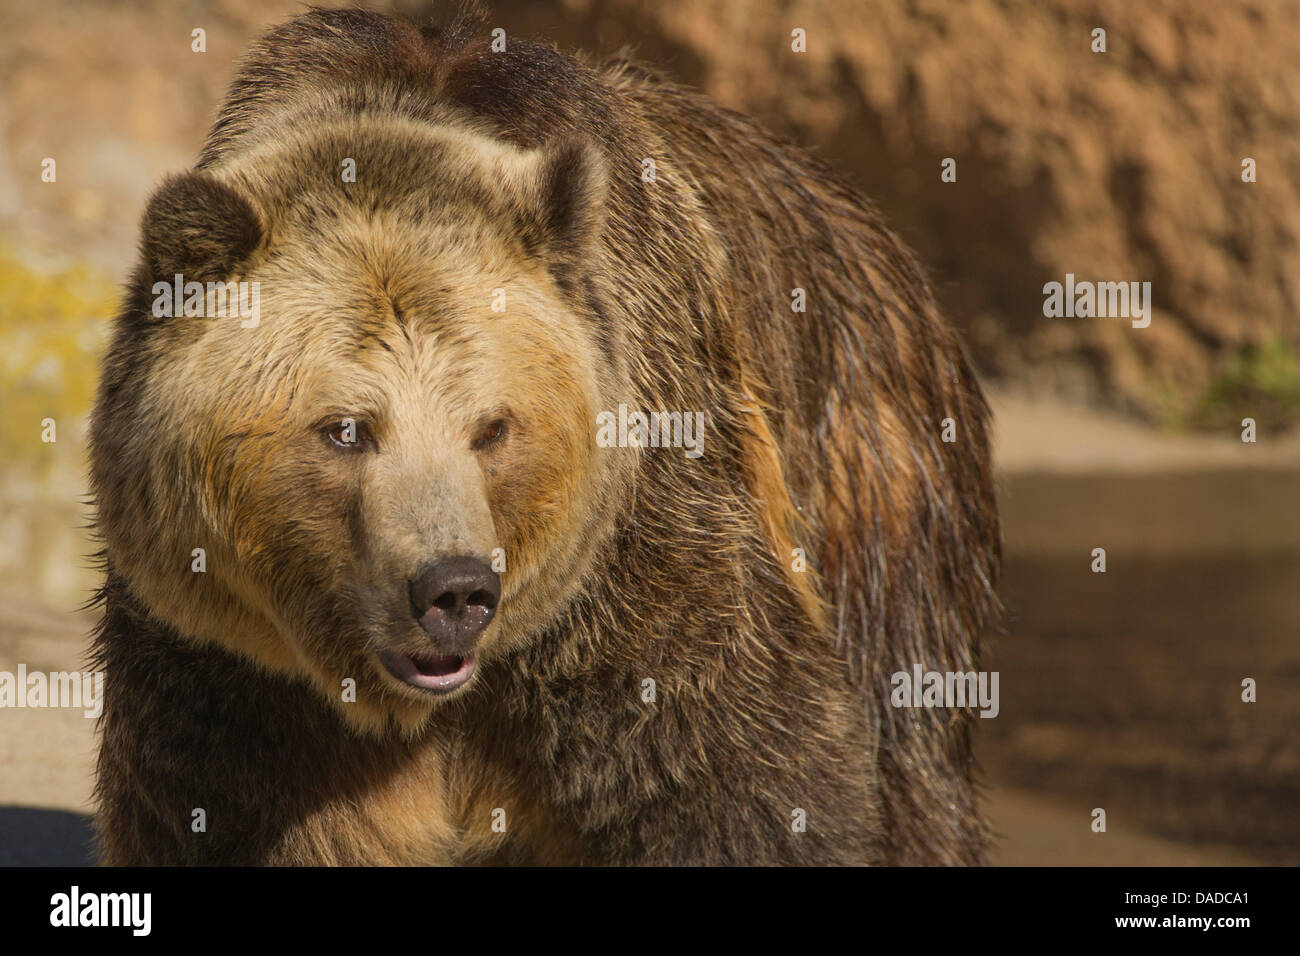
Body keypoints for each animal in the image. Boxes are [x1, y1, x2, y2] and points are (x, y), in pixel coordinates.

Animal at [88, 7, 1000, 866]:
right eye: (346, 429)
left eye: (492, 426)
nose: (453, 589)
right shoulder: (233, 669)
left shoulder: (634, 573)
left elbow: (739, 778)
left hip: (874, 490)